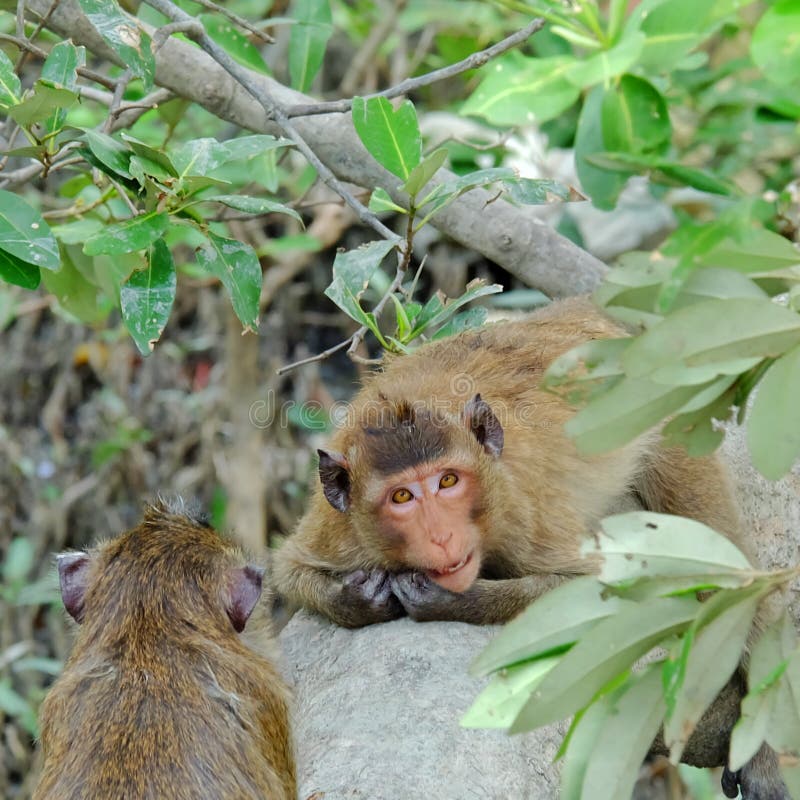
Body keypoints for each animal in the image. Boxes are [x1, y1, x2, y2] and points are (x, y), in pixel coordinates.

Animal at [273, 296, 789, 799]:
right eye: (402, 497)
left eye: (448, 481)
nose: (441, 536)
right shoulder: (341, 530)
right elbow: (289, 570)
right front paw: (359, 600)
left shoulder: (521, 511)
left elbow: (592, 590)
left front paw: (459, 600)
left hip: (672, 428)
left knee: (731, 572)